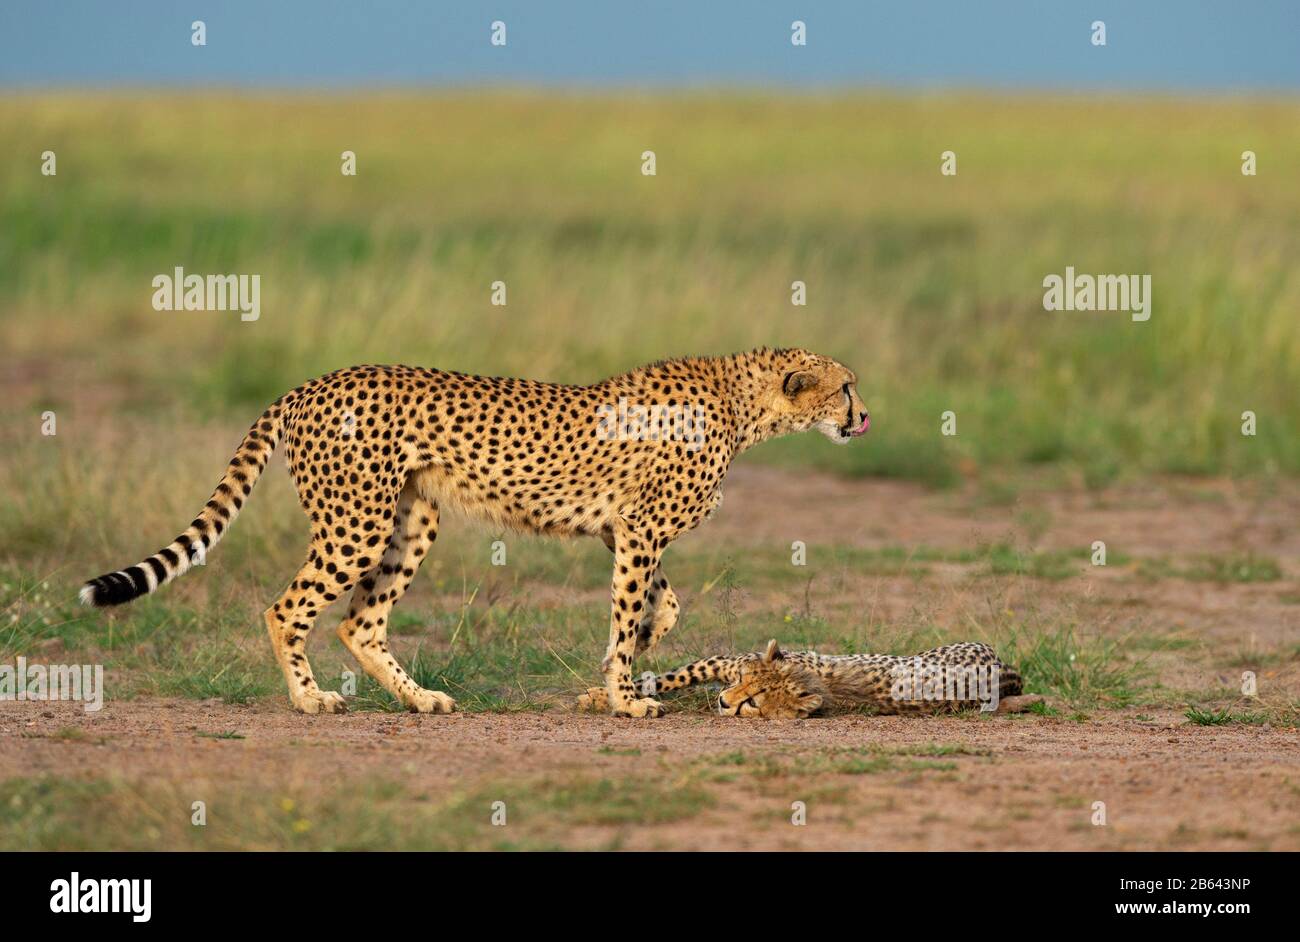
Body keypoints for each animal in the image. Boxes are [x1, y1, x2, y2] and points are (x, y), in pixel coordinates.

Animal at [80, 348, 870, 717]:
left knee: (359, 622)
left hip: (410, 520)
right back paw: (311, 699)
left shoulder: (620, 531)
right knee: (287, 609)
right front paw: (625, 697)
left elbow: (662, 608)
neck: (744, 403)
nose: (864, 418)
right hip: (357, 522)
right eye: (846, 386)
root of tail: (313, 382)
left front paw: (625, 669)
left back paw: (420, 699)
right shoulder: (641, 531)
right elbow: (629, 618)